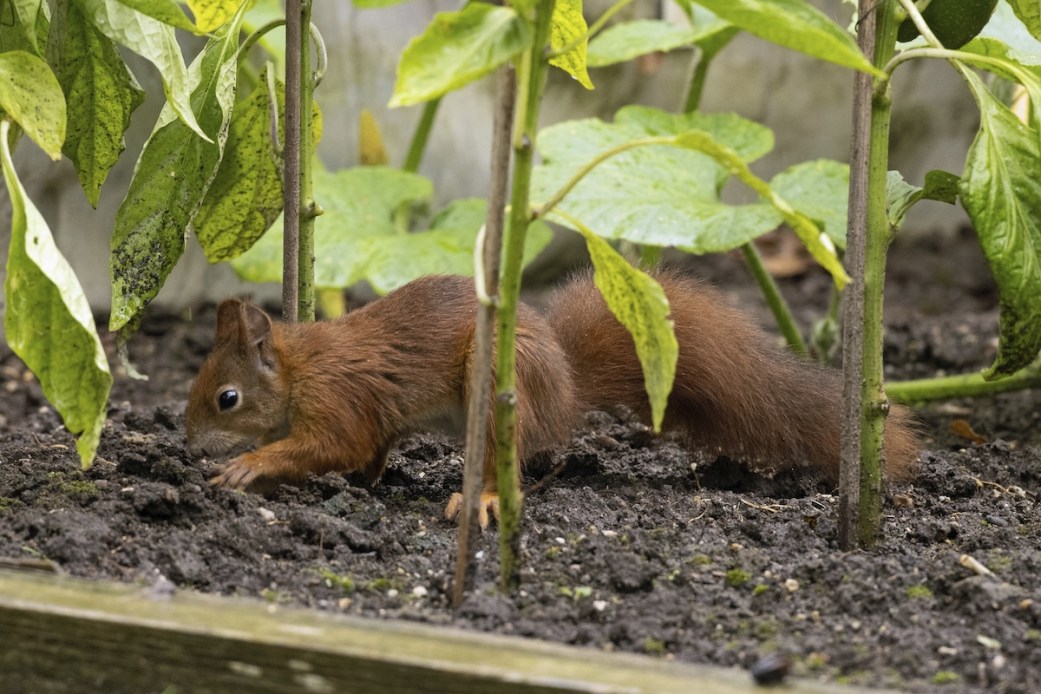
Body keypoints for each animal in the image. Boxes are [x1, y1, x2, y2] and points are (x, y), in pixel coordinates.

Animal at [186, 272, 919, 523]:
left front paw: (247, 466)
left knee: (512, 460)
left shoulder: (337, 400)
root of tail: (564, 387)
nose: (185, 438)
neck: (299, 367)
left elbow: (331, 444)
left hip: (495, 389)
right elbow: (361, 449)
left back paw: (479, 497)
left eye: (225, 398)